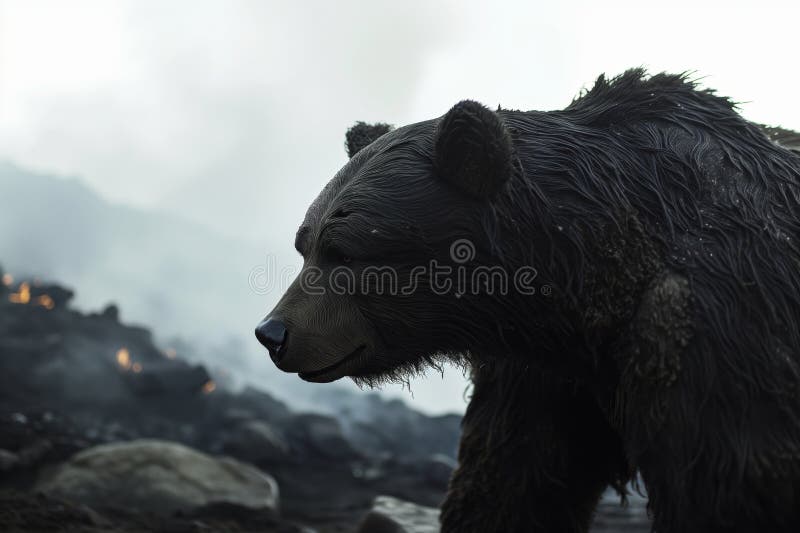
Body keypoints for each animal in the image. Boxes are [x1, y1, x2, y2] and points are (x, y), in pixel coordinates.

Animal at [255, 69, 800, 532]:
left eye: (345, 251)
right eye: (305, 245)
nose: (272, 333)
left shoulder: (716, 327)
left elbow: (727, 486)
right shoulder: (546, 368)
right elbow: (511, 477)